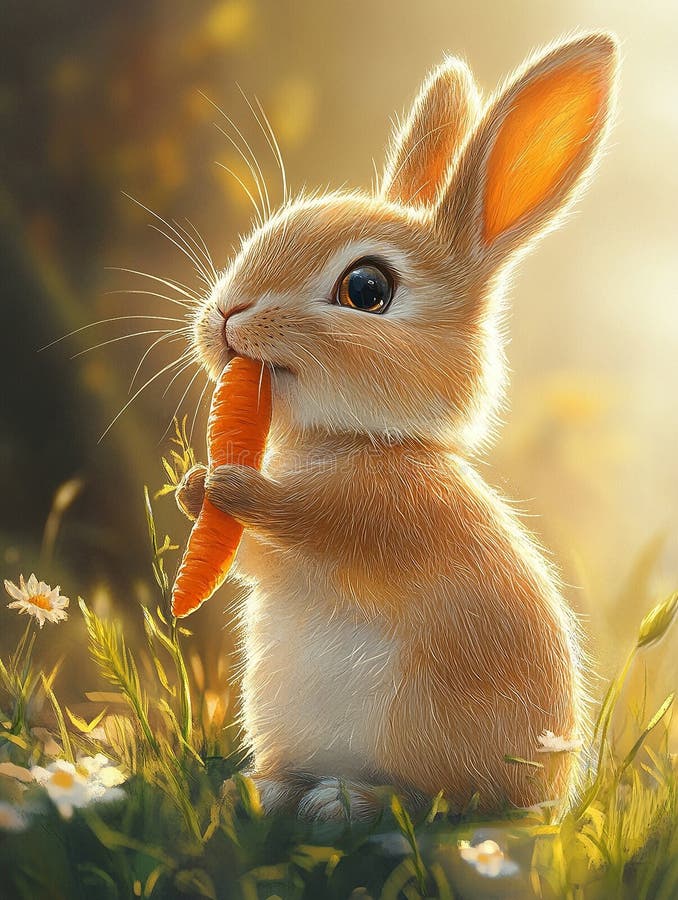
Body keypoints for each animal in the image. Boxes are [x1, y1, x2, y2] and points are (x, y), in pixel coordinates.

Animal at [176, 32, 619, 821]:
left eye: (367, 289)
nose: (226, 313)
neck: (350, 440)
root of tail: (552, 789)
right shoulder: (280, 562)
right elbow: (257, 561)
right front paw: (194, 486)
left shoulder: (388, 518)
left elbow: (313, 521)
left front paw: (229, 485)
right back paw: (260, 790)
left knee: (441, 800)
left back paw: (344, 802)